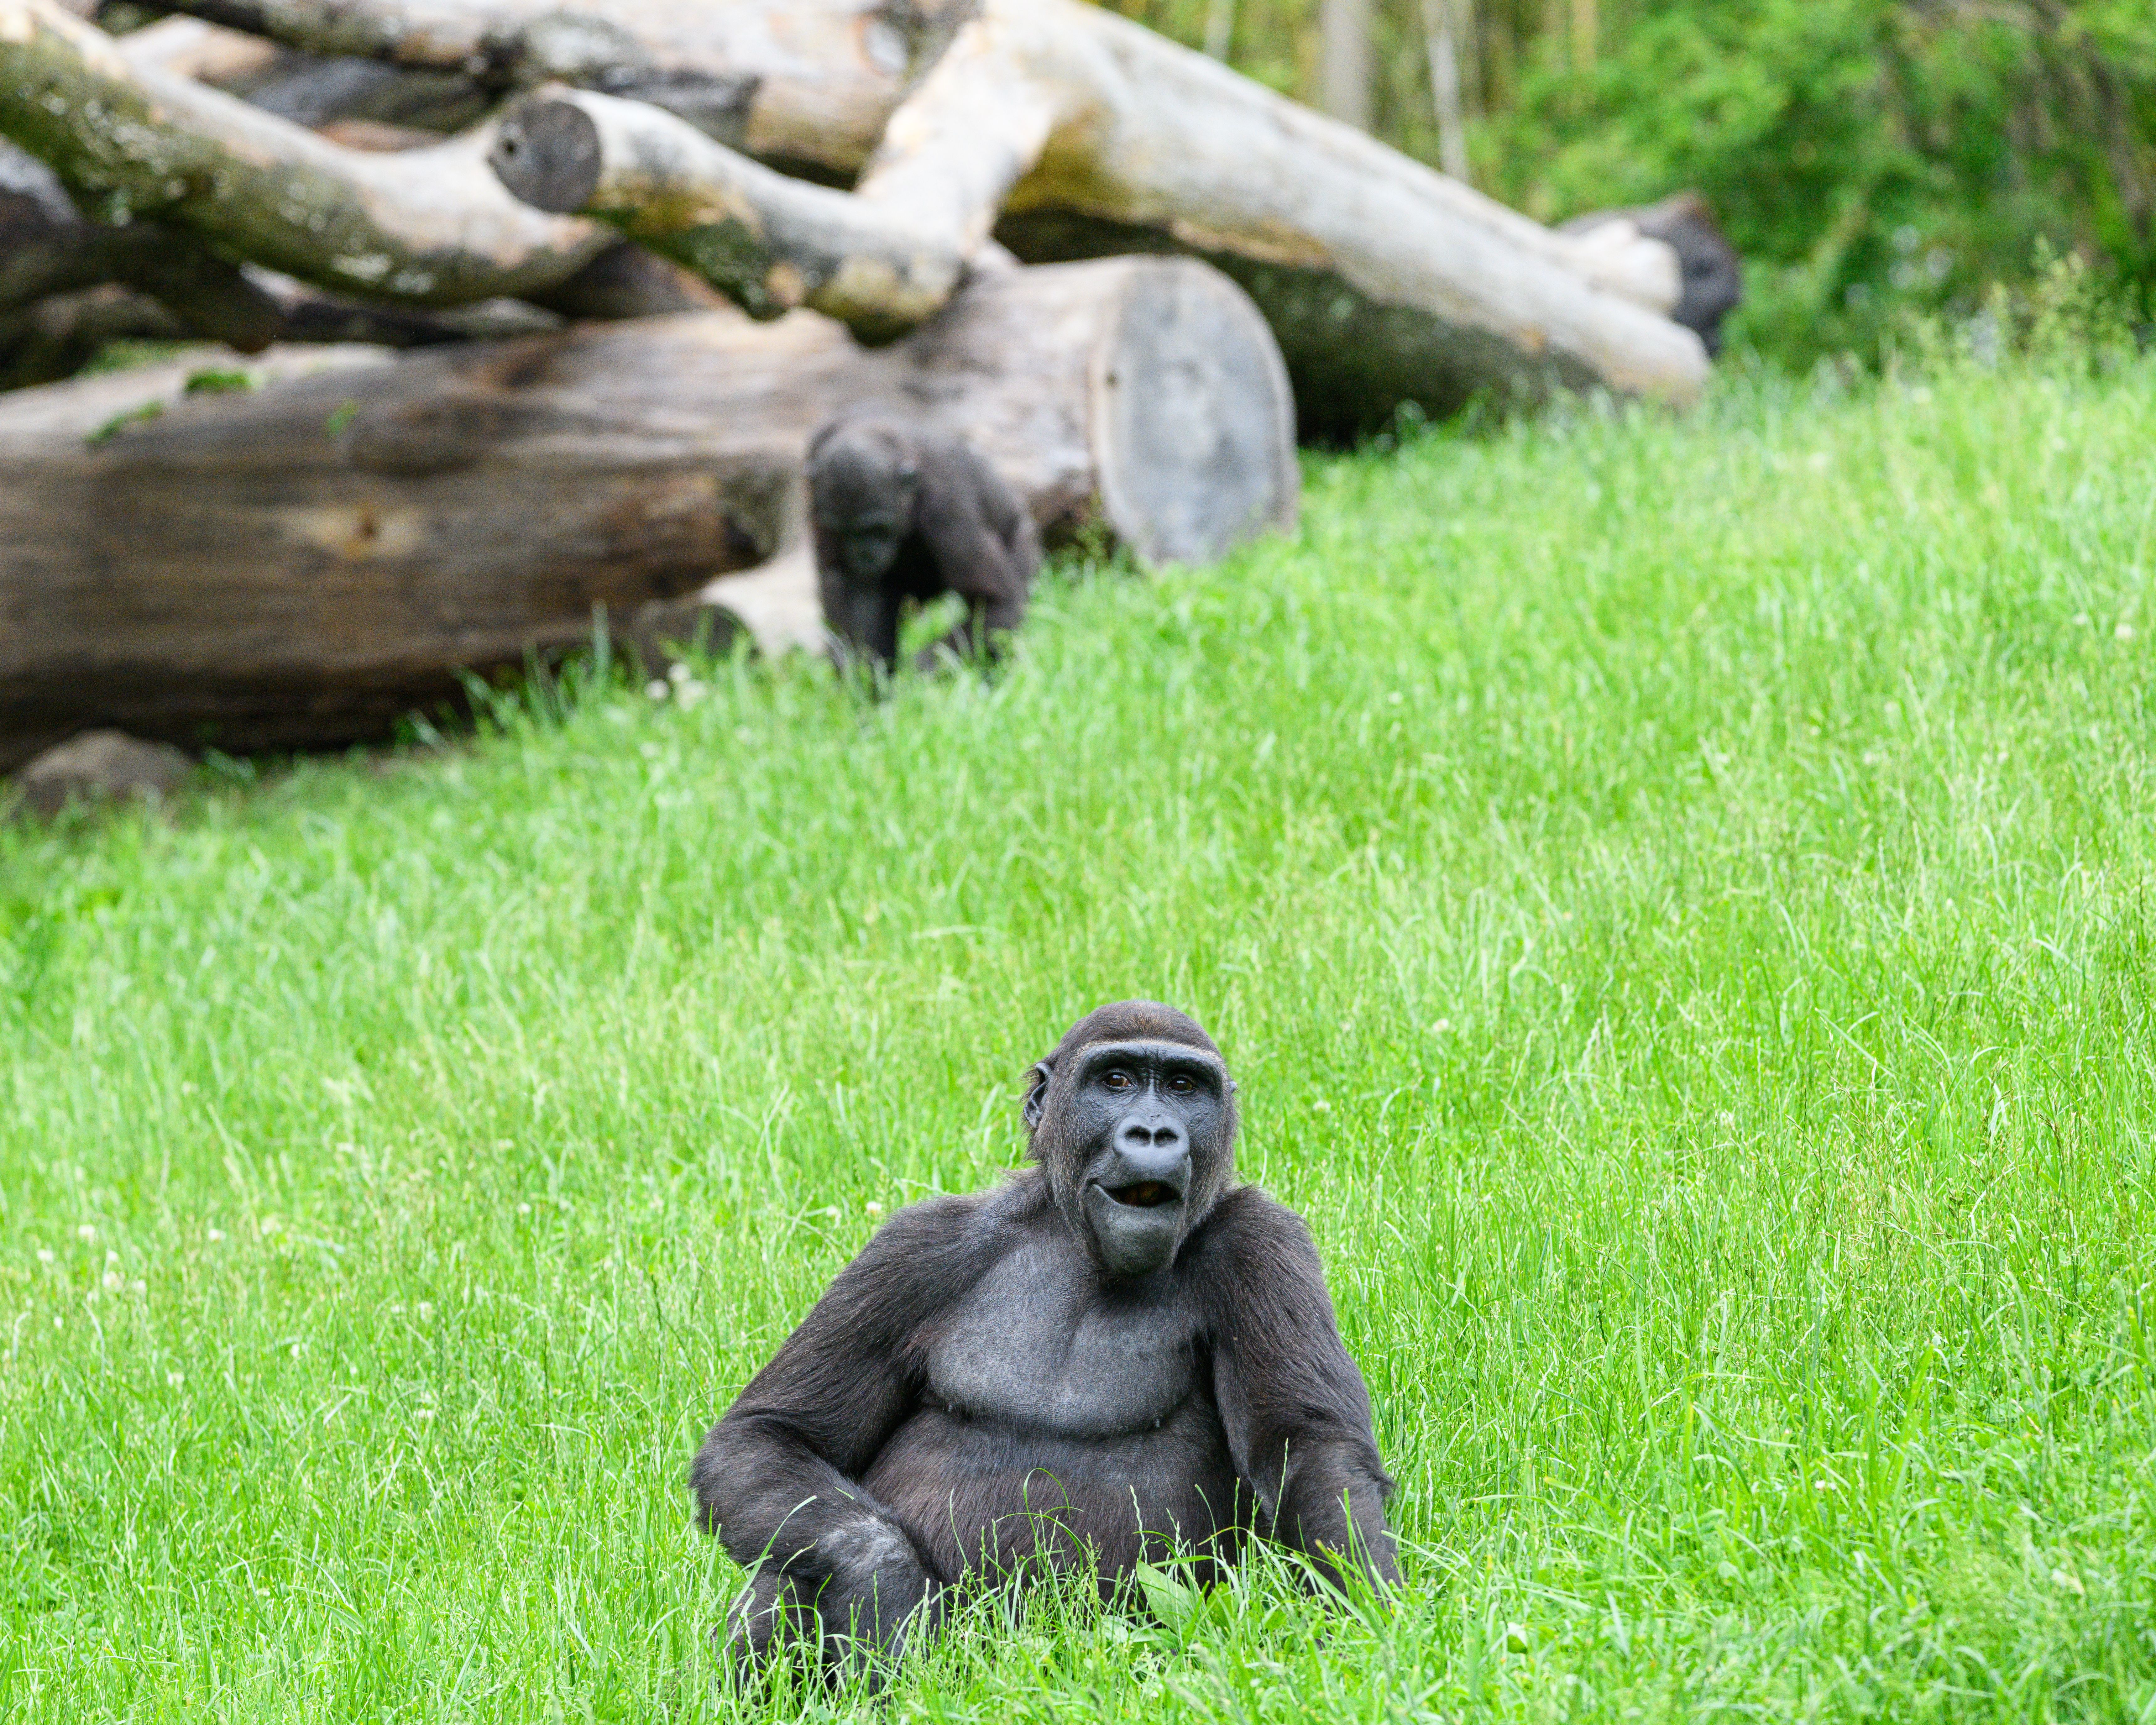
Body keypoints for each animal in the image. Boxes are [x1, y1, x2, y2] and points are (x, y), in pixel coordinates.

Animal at [690, 1000, 1397, 1686]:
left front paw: (1366, 1629)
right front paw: (881, 1578)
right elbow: (772, 1433)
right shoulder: (913, 1246)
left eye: (1182, 1086)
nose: (1152, 1132)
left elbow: (1308, 1453)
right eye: (1116, 1081)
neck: (1079, 1245)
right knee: (798, 1551)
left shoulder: (1265, 1242)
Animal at [805, 404, 1040, 673]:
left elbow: (996, 601)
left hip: (1024, 541)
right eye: (841, 530)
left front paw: (922, 666)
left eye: (877, 529)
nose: (863, 554)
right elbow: (840, 577)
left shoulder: (946, 504)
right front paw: (860, 671)